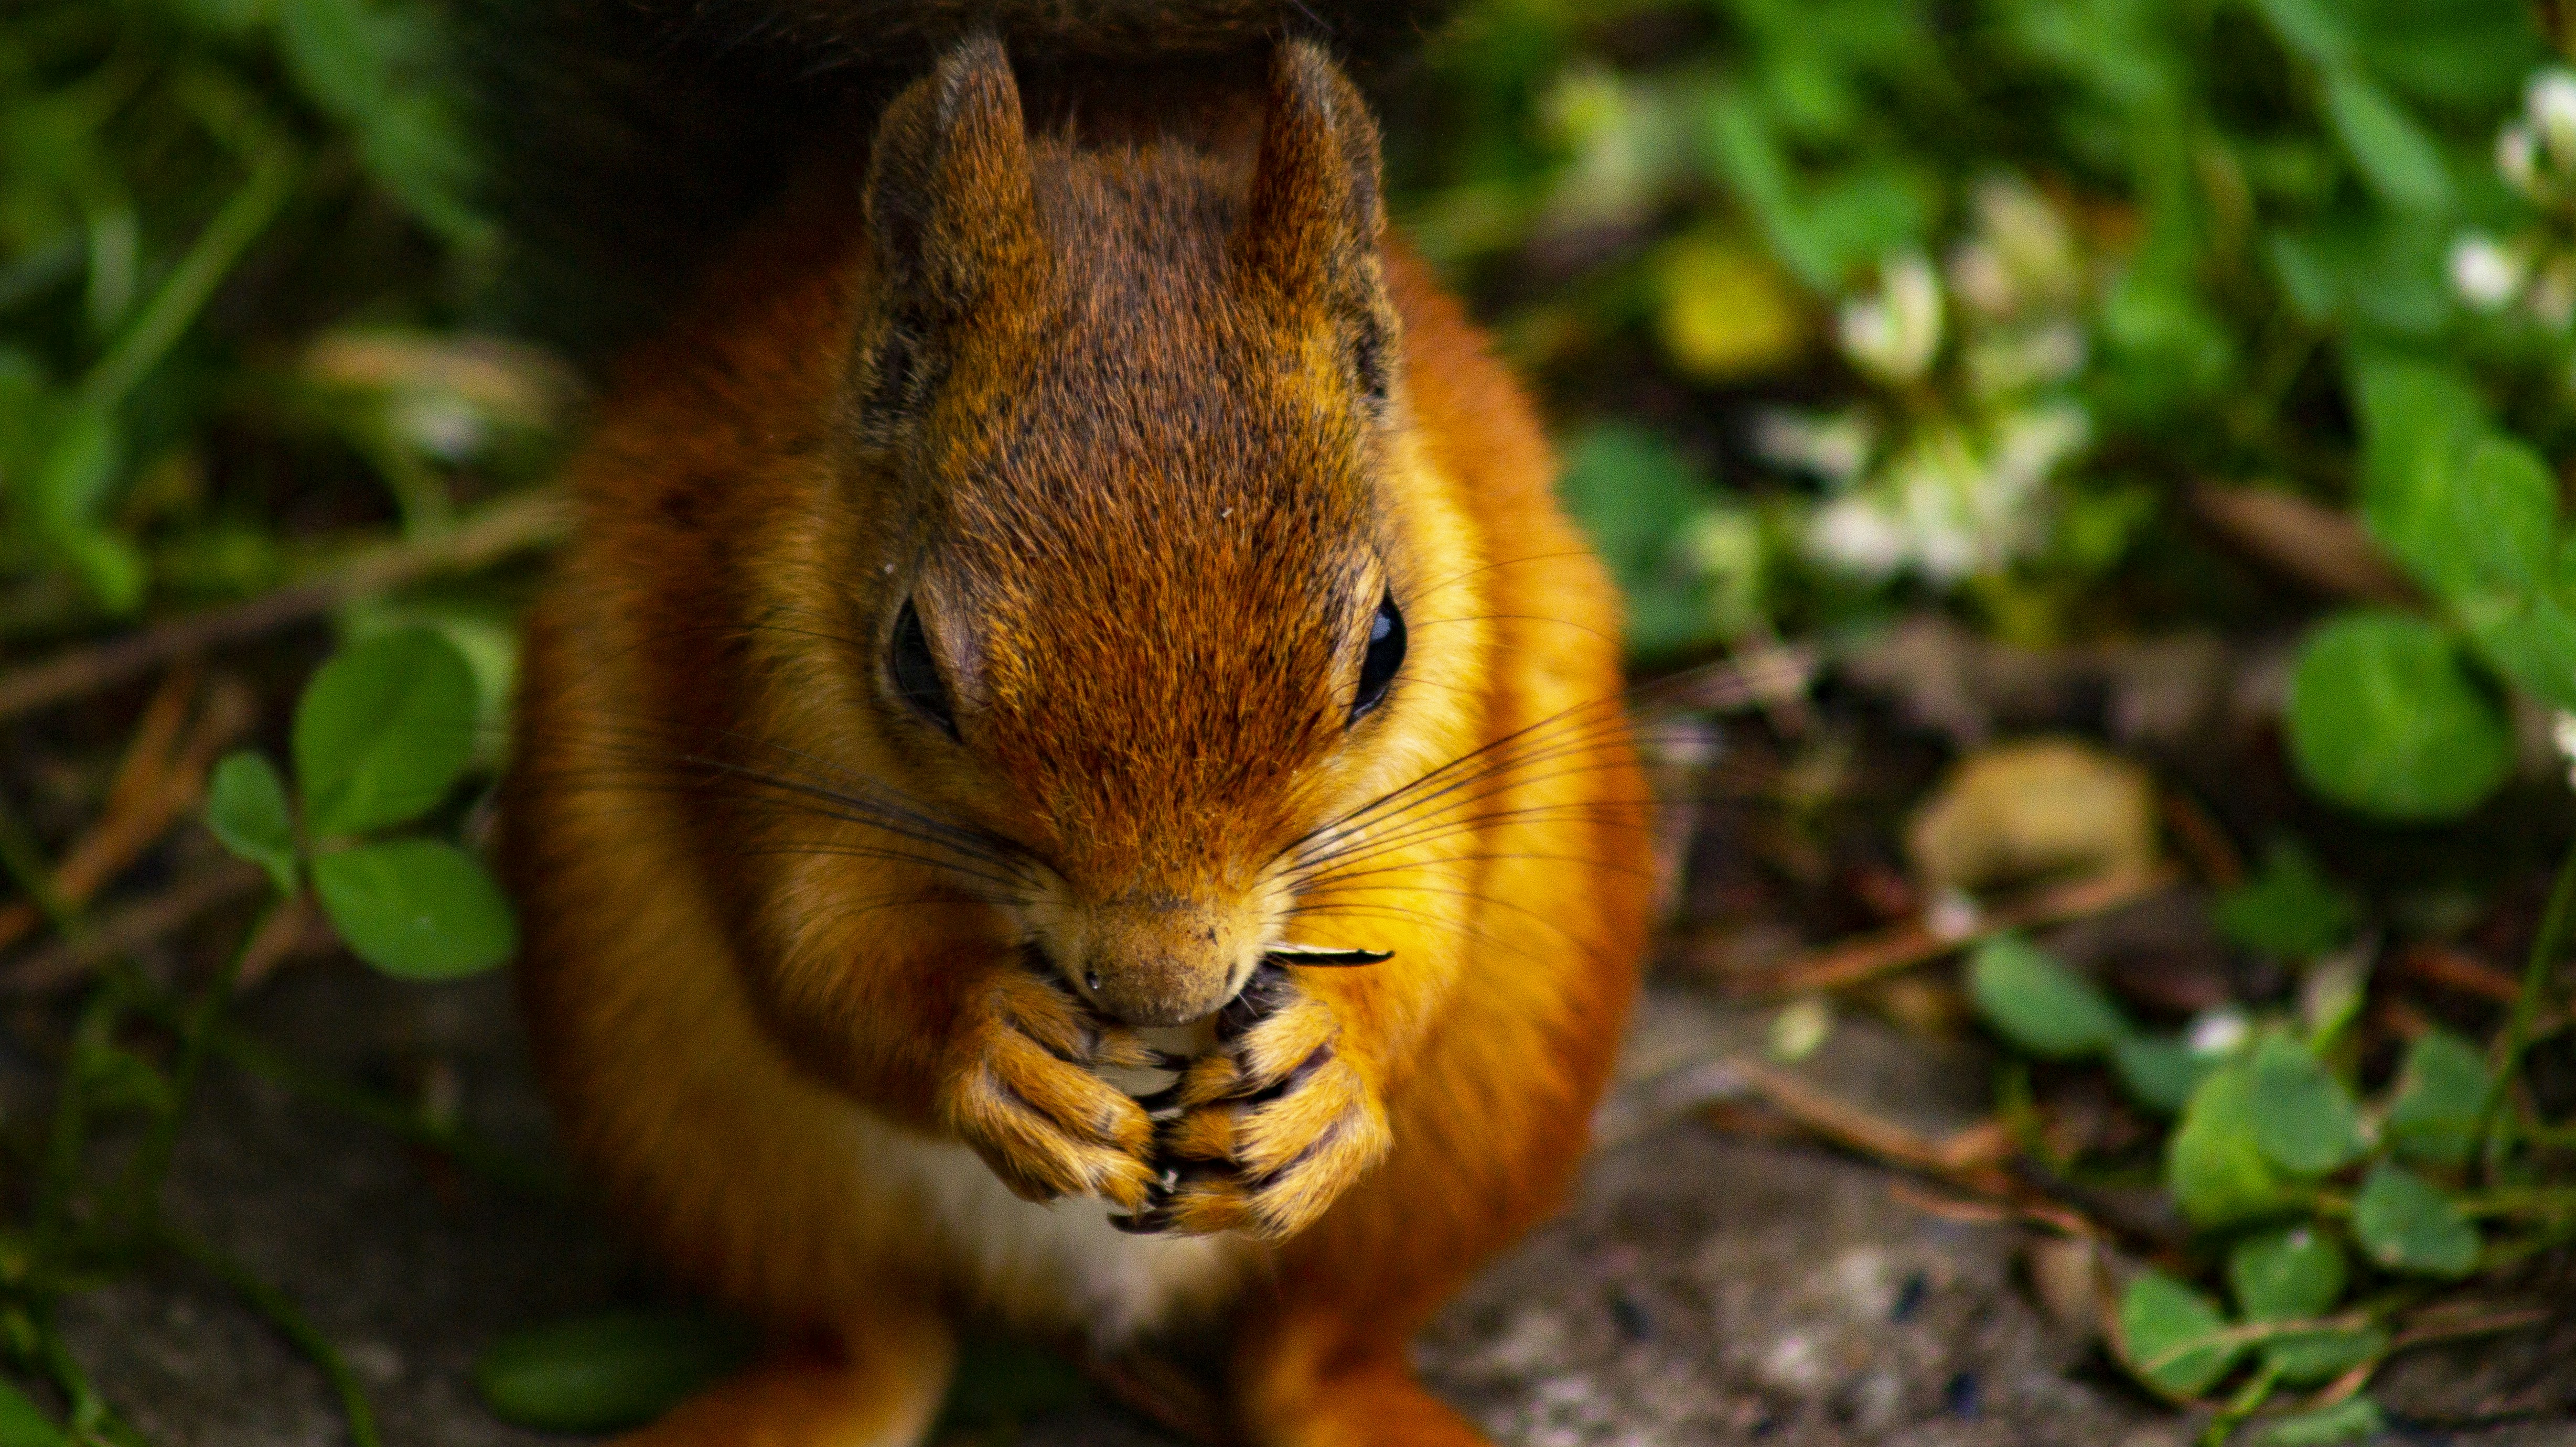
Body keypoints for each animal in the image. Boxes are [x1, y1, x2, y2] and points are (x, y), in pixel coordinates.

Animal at [492, 4, 1656, 1443]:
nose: (1162, 985)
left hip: (1513, 1063)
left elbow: (1425, 930)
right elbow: (815, 960)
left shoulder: (1460, 664)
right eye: (913, 658)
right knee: (865, 1337)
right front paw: (996, 1052)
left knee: (1317, 1344)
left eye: (1383, 646)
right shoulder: (751, 674)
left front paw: (1329, 1069)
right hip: (663, 1084)